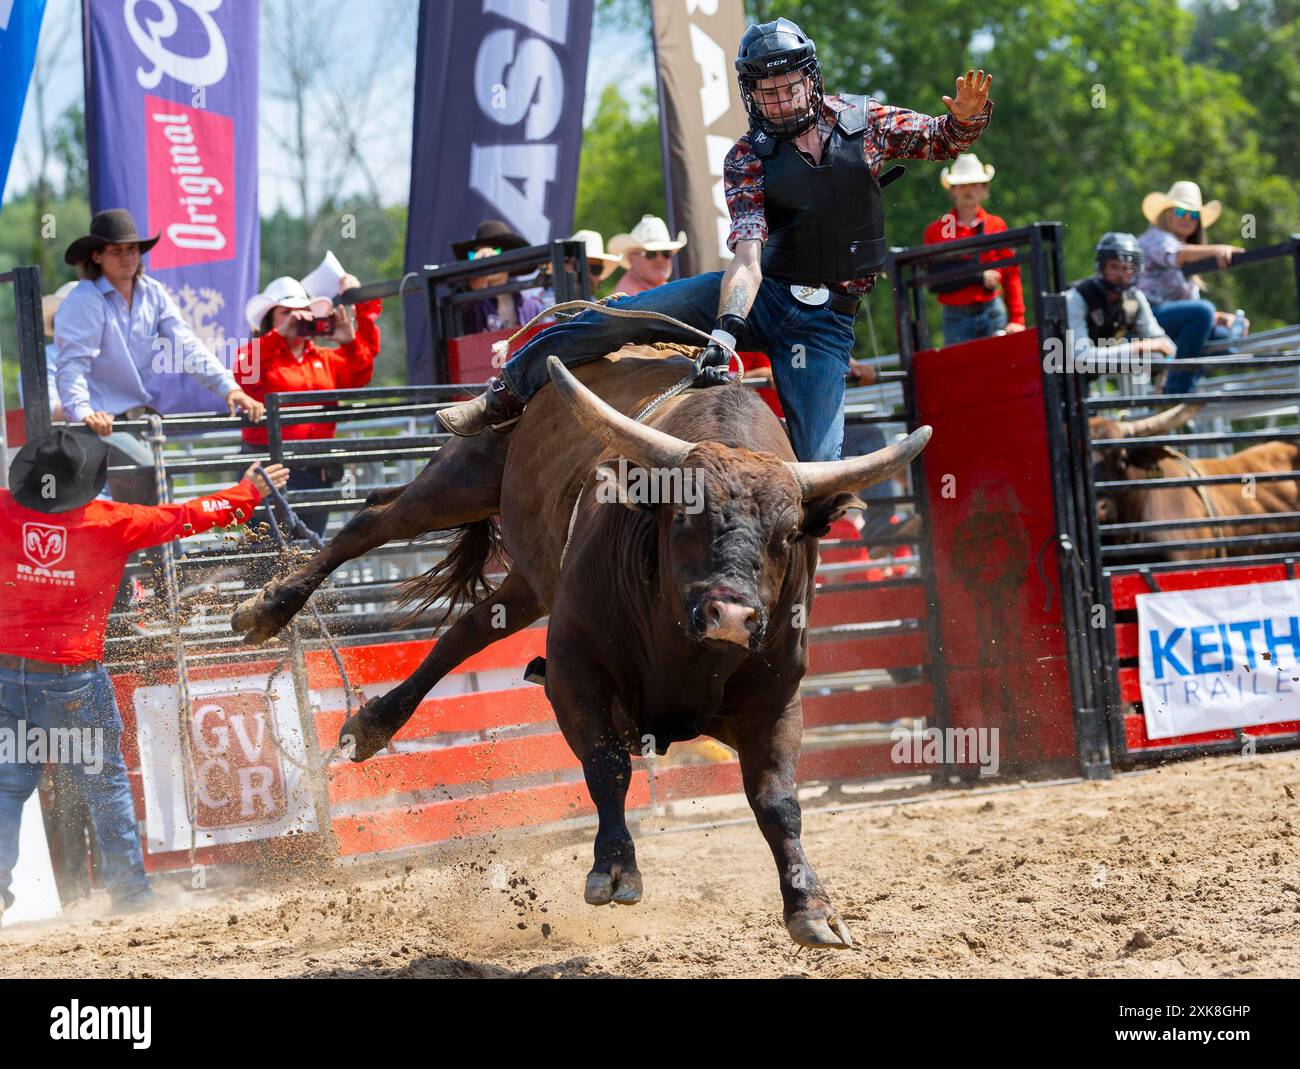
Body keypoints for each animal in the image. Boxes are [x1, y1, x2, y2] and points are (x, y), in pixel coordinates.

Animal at [231, 346, 930, 948]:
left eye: (787, 535)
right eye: (687, 515)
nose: (731, 614)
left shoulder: (775, 700)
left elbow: (778, 802)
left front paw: (812, 907)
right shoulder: (576, 670)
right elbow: (607, 765)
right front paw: (615, 870)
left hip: (531, 574)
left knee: (471, 627)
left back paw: (372, 723)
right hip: (465, 473)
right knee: (376, 518)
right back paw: (268, 609)